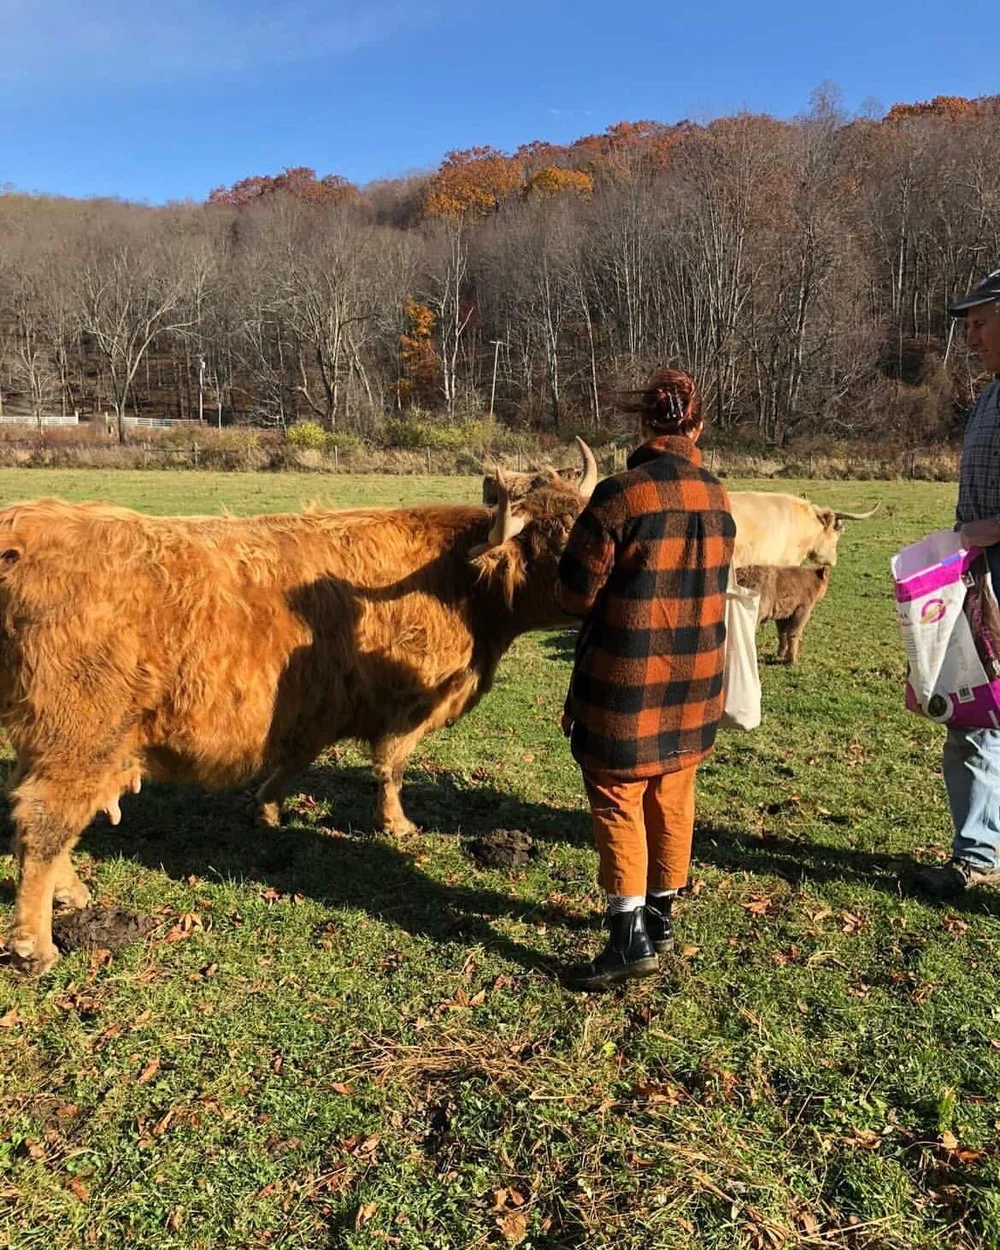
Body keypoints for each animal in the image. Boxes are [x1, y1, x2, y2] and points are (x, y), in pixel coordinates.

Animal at [0, 441, 598, 974]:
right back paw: (36, 945)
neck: (462, 585)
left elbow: (296, 761)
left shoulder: (315, 703)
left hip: (51, 739)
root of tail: (25, 527)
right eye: (563, 538)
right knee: (44, 822)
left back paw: (70, 894)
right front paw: (397, 826)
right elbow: (391, 768)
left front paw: (265, 810)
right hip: (79, 734)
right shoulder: (403, 706)